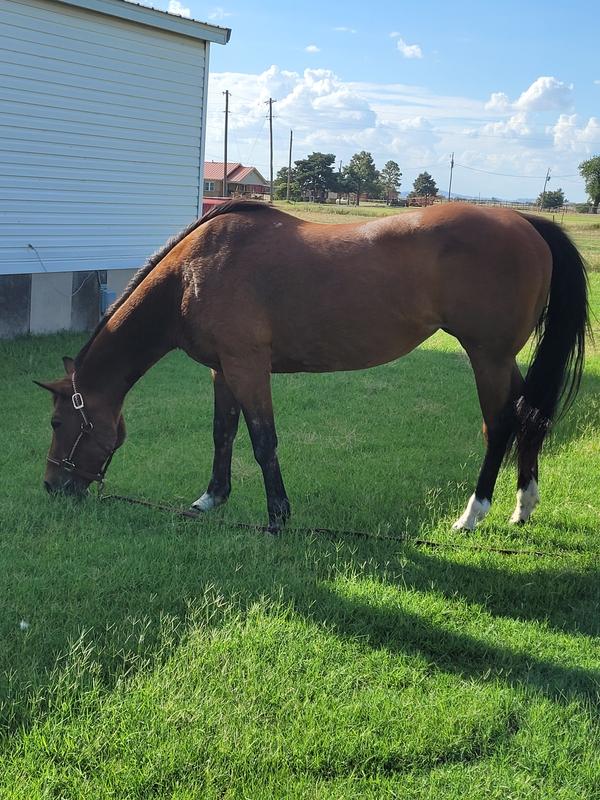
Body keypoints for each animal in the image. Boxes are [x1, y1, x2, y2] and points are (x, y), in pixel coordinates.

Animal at [36, 200, 588, 533]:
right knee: (529, 416)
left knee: (499, 425)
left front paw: (278, 519)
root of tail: (525, 223)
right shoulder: (223, 370)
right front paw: (211, 500)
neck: (192, 273)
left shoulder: (248, 367)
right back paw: (523, 505)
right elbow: (222, 434)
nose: (51, 487)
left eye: (59, 422)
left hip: (486, 357)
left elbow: (263, 442)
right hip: (501, 360)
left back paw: (473, 514)